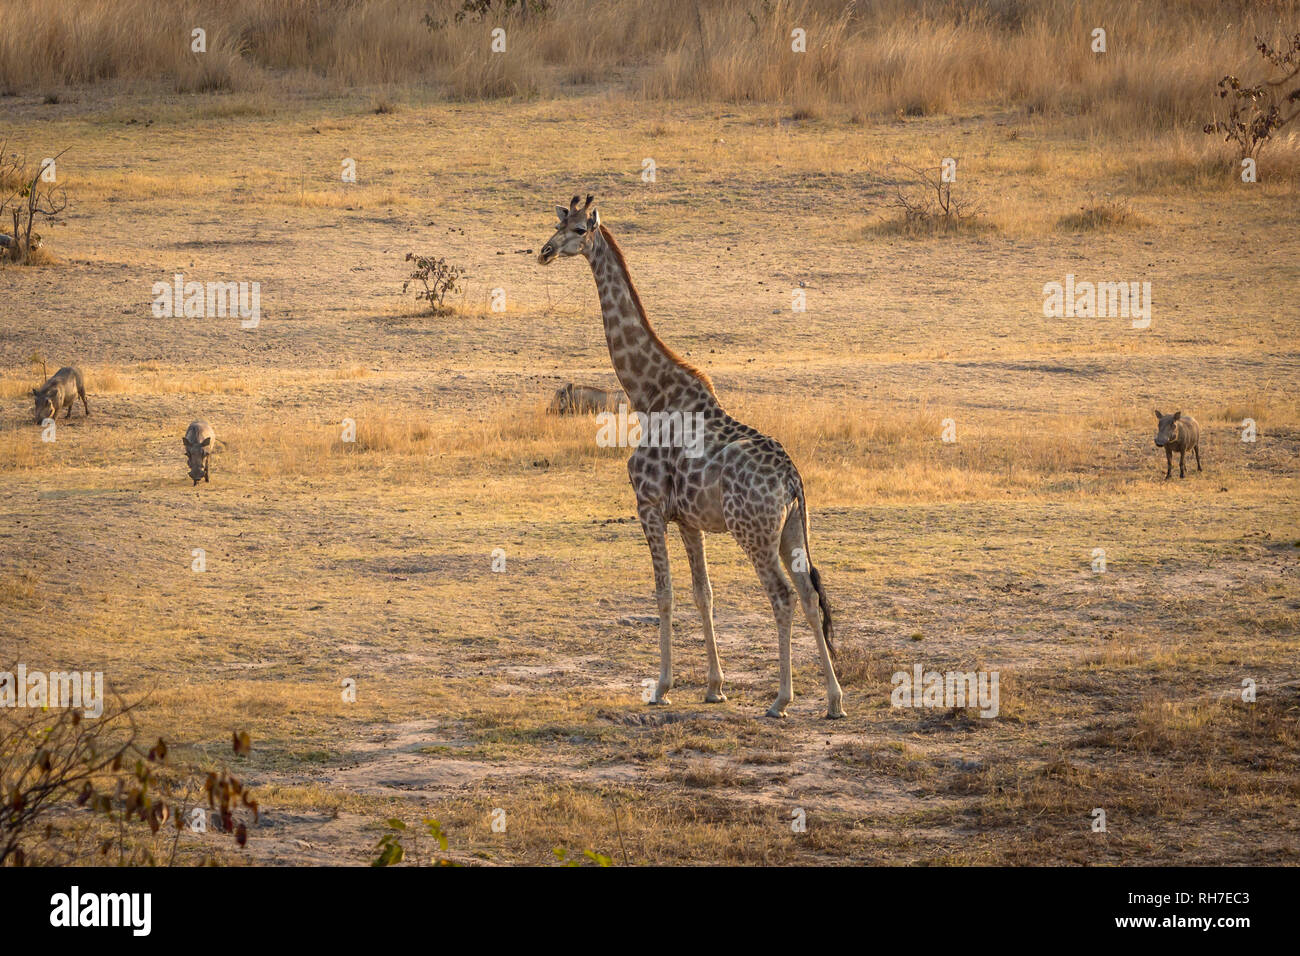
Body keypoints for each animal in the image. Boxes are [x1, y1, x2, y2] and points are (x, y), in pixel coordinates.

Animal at [538, 195, 845, 719]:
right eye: (556, 223)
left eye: (579, 229)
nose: (544, 251)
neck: (647, 393)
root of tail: (793, 480)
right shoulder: (688, 519)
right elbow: (704, 594)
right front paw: (714, 686)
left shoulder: (648, 507)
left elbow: (664, 594)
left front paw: (661, 686)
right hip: (790, 530)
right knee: (809, 595)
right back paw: (834, 700)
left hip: (753, 532)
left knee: (782, 596)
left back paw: (781, 699)